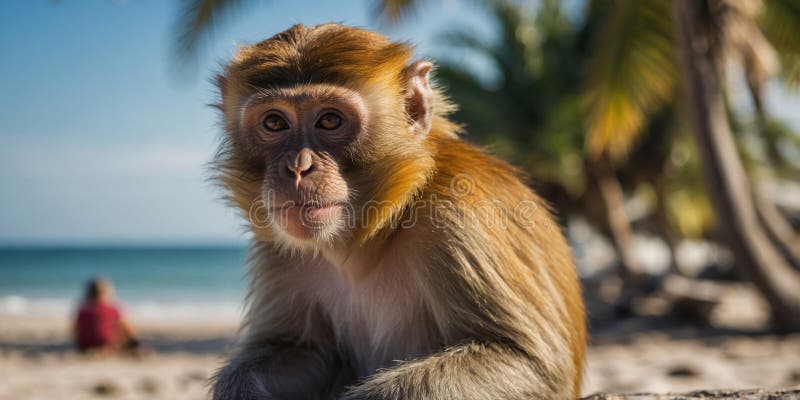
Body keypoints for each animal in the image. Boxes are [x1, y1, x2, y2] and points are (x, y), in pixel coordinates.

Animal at [211, 24, 586, 400]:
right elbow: (299, 349)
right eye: (275, 123)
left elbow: (529, 361)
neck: (379, 228)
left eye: (329, 120)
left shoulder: (456, 217)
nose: (297, 168)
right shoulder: (279, 250)